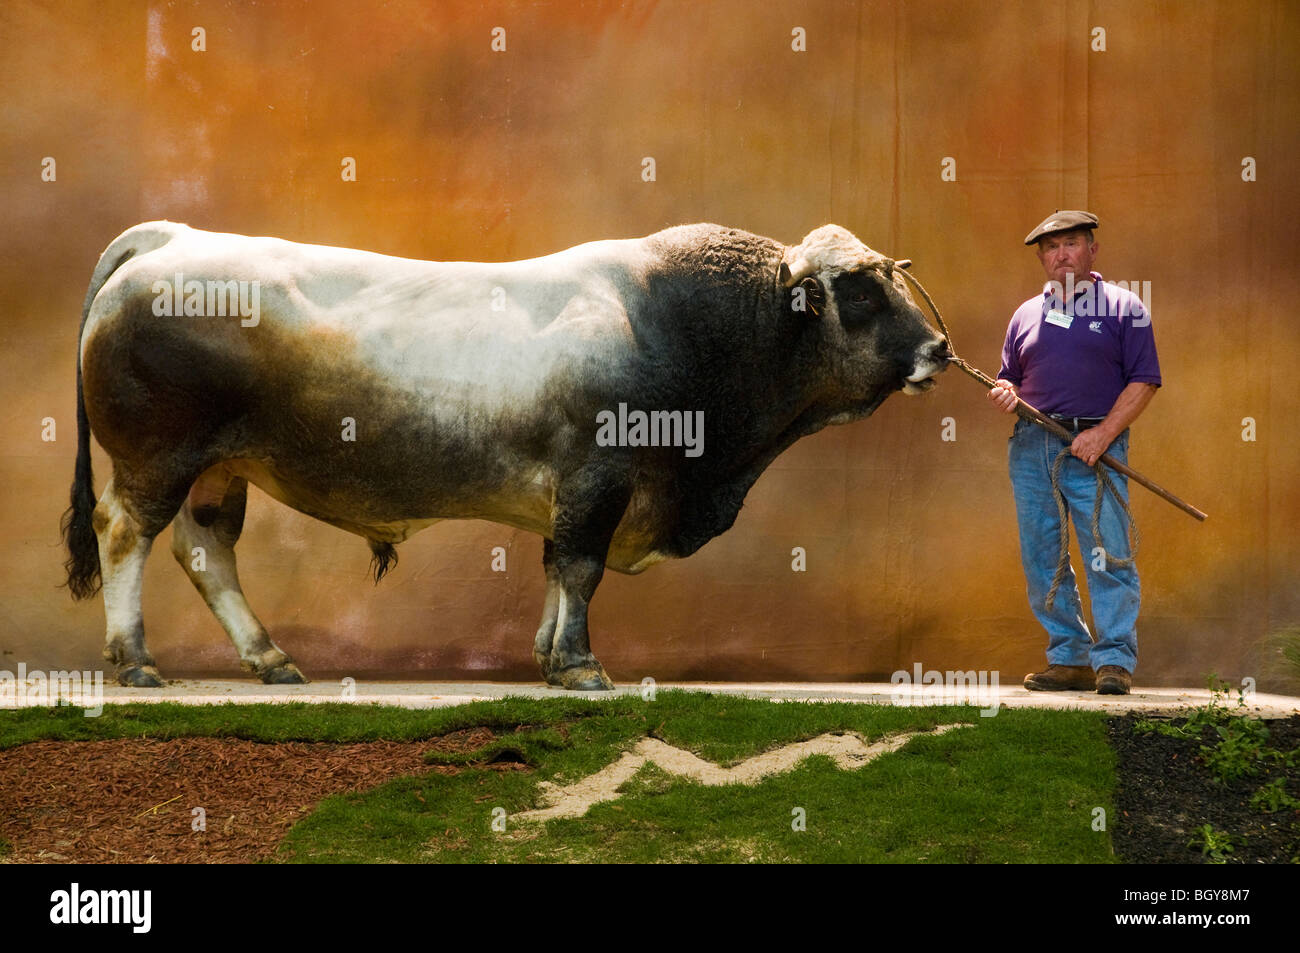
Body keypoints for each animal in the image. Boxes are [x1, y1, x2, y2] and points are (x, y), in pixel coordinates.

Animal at [62, 221, 948, 690]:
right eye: (860, 293)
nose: (939, 349)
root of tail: (171, 238)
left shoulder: (571, 494)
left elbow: (556, 567)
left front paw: (550, 658)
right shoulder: (597, 477)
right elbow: (582, 568)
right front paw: (583, 667)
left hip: (220, 469)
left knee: (205, 550)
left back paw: (270, 657)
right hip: (158, 457)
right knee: (125, 533)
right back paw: (136, 660)